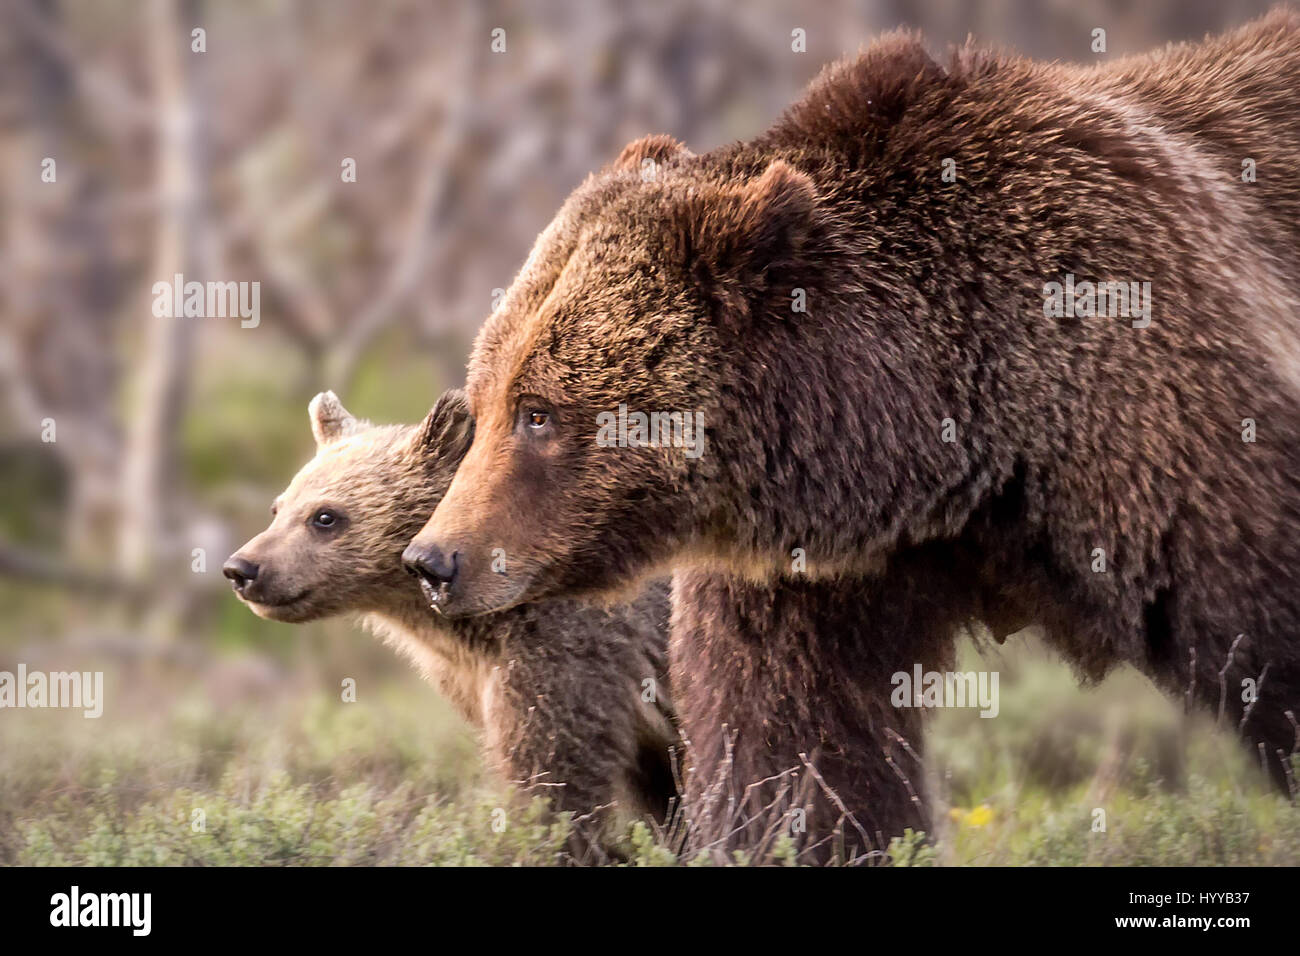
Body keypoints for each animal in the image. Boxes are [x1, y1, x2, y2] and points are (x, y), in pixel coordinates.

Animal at [403, 11, 1300, 856]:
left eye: (539, 412)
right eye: (485, 400)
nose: (435, 559)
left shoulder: (1148, 397)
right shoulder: (815, 571)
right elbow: (796, 754)